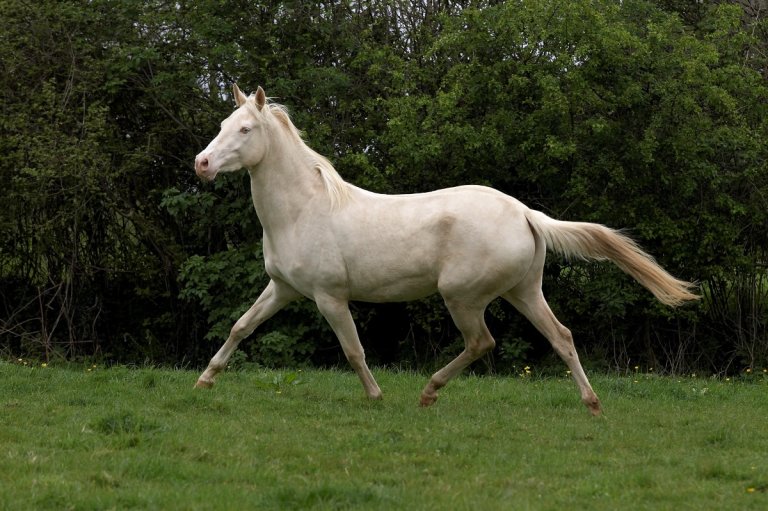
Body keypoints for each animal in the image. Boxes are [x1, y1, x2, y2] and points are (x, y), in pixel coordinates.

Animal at [193, 84, 699, 415]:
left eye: (244, 130)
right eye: (221, 124)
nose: (202, 163)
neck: (303, 210)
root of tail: (525, 212)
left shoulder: (329, 297)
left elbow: (353, 350)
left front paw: (376, 397)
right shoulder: (282, 288)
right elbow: (241, 327)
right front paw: (204, 381)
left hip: (463, 296)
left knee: (482, 342)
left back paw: (429, 392)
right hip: (523, 291)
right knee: (562, 336)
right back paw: (591, 404)